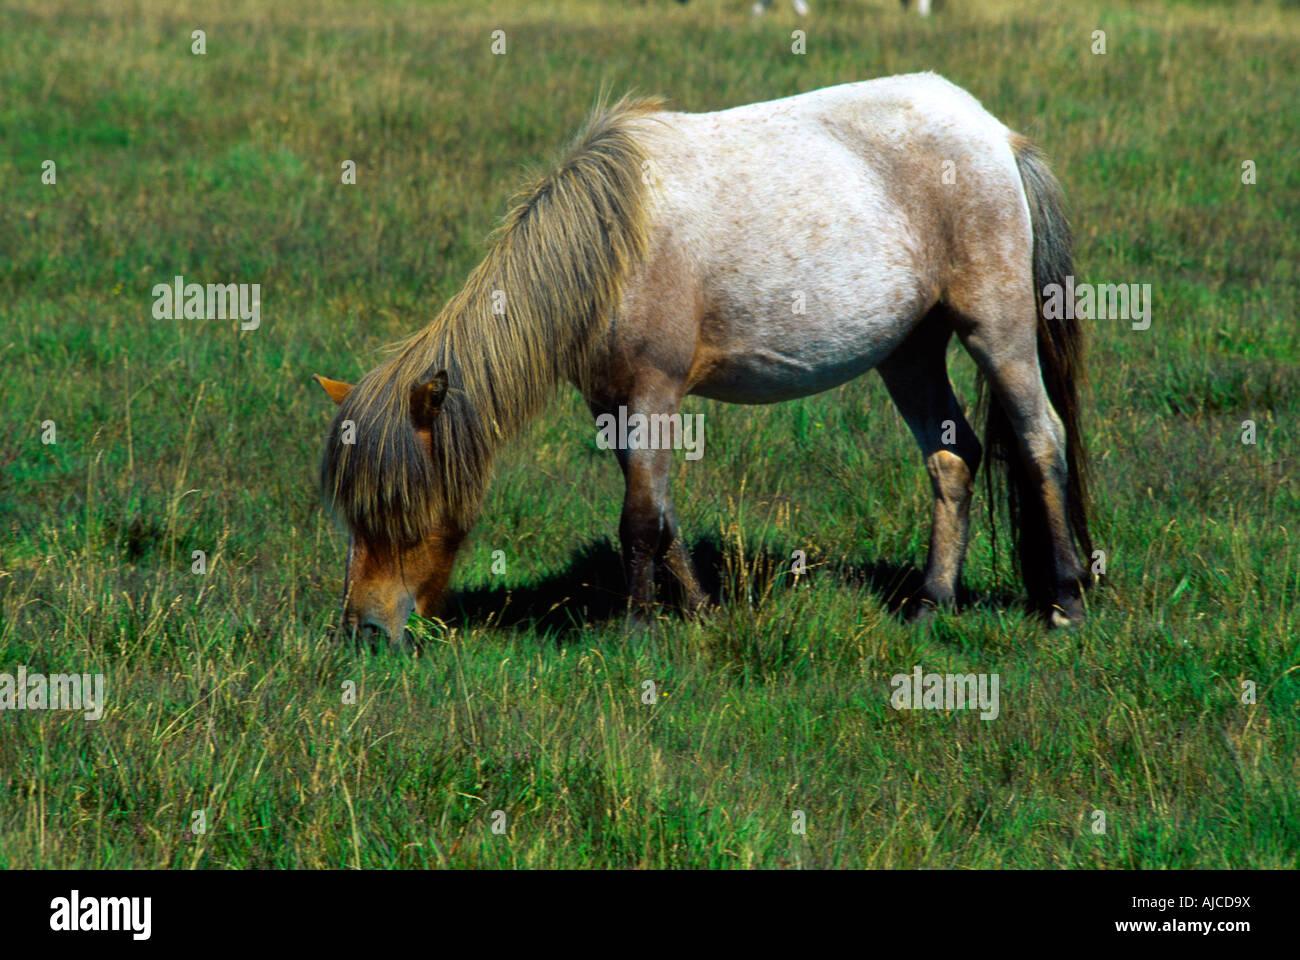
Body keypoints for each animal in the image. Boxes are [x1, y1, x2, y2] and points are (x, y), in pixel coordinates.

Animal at [315, 73, 1094, 648]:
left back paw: (1065, 601)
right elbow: (659, 513)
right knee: (952, 458)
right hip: (908, 352)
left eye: (397, 505)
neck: (610, 248)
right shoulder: (612, 404)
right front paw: (698, 611)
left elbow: (638, 519)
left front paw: (636, 631)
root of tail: (995, 134)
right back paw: (932, 604)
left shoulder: (654, 393)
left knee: (1040, 440)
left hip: (995, 330)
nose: (363, 631)